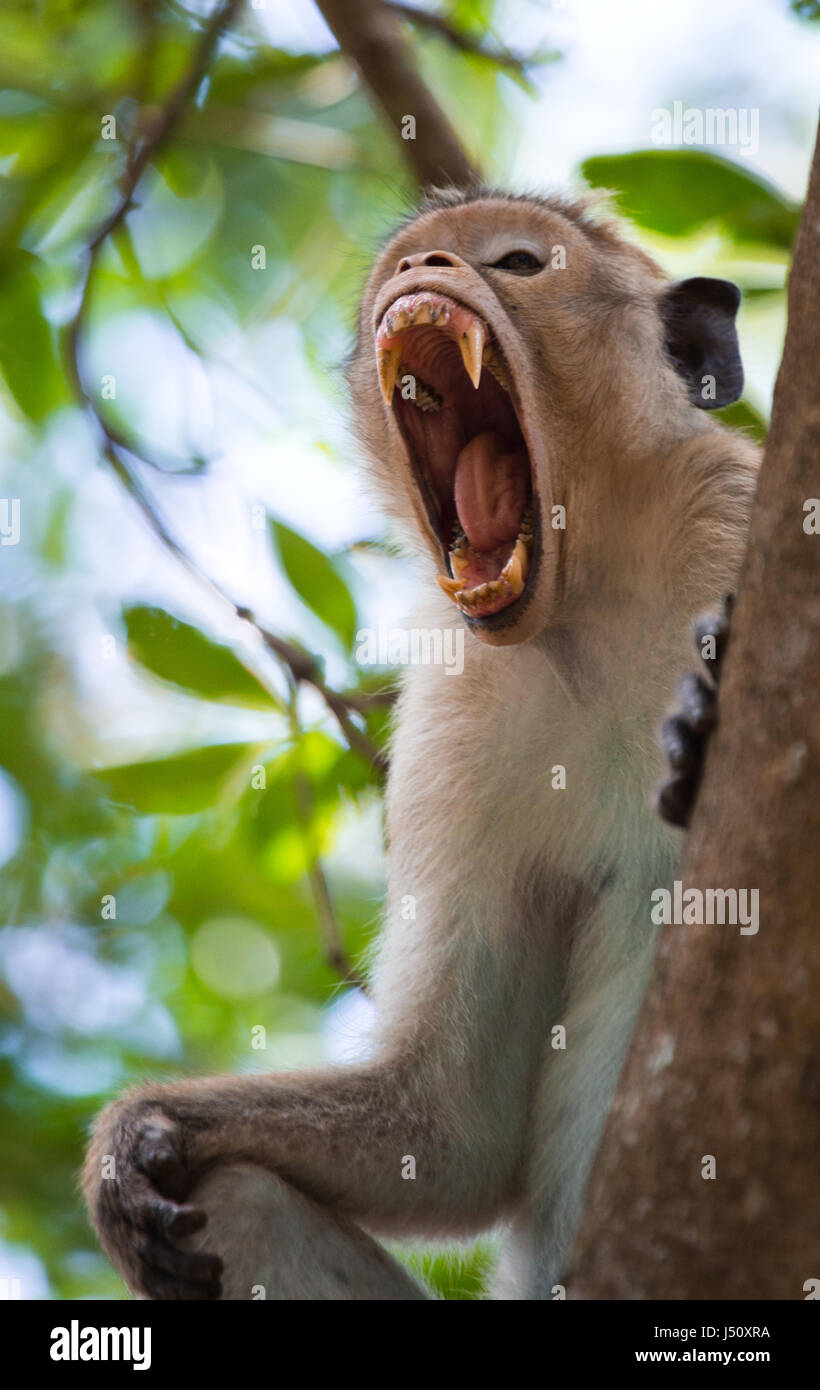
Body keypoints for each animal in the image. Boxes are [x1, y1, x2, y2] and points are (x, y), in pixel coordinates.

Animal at [82, 188, 759, 1300]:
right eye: (409, 263)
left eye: (521, 261)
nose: (424, 268)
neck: (588, 601)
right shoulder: (454, 711)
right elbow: (450, 1124)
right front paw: (137, 1140)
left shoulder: (740, 514)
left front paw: (702, 731)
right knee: (234, 1198)